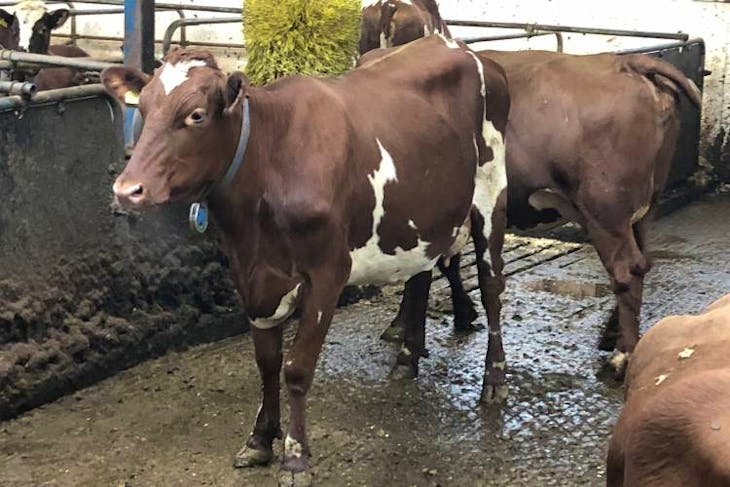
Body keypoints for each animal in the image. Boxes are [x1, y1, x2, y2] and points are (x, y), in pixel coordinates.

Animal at [101, 35, 510, 483]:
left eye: (196, 115)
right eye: (143, 108)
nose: (127, 189)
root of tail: (452, 42)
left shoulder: (328, 273)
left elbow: (296, 368)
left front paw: (296, 456)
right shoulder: (252, 276)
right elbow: (266, 363)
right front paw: (260, 439)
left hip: (491, 193)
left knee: (491, 285)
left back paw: (494, 380)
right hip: (421, 216)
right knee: (420, 273)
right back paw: (407, 358)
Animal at [372, 46, 702, 379]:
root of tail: (626, 62)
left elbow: (422, 278)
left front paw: (408, 347)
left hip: (606, 211)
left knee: (626, 271)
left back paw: (622, 357)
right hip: (645, 208)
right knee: (642, 262)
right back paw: (613, 337)